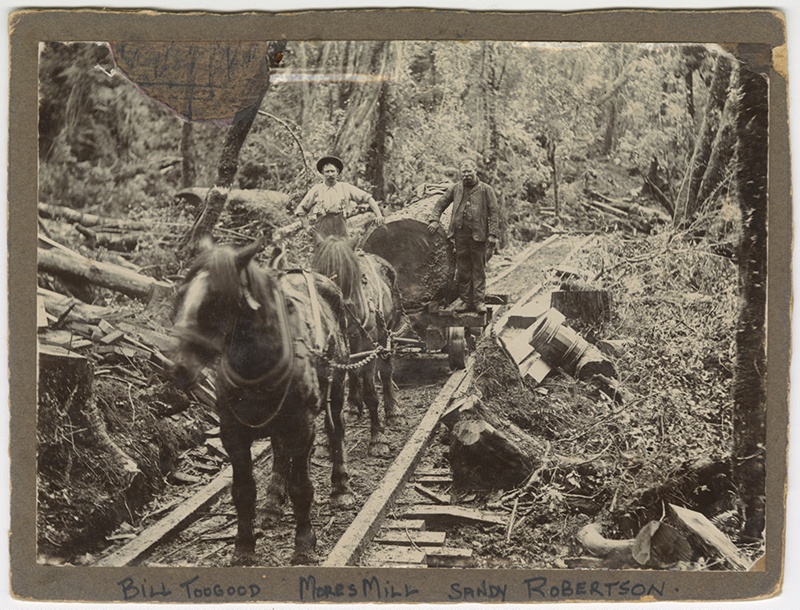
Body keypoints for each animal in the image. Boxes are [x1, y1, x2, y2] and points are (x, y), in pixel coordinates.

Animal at [170, 238, 354, 565]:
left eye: (216, 297)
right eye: (180, 295)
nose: (179, 366)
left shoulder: (302, 427)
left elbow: (302, 487)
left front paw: (304, 544)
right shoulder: (233, 434)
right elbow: (243, 492)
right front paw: (244, 547)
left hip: (337, 385)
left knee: (336, 431)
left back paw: (340, 486)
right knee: (280, 451)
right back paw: (272, 503)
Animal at [310, 235, 405, 457]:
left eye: (345, 274)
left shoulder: (369, 345)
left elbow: (371, 393)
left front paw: (378, 439)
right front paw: (325, 442)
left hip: (385, 334)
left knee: (386, 371)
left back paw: (392, 411)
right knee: (353, 372)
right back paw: (353, 406)